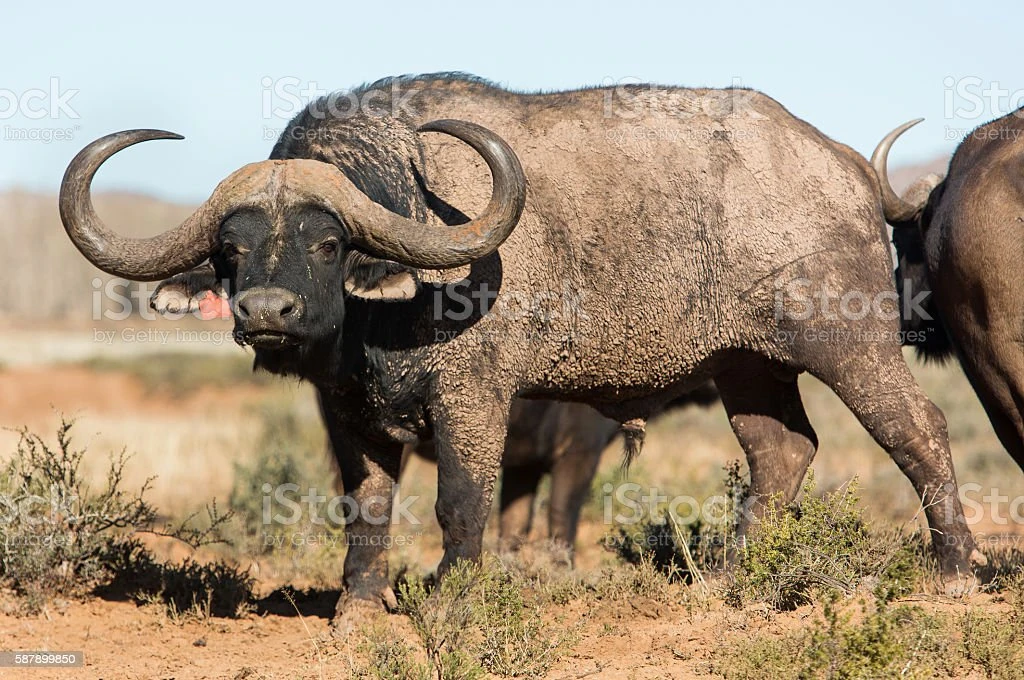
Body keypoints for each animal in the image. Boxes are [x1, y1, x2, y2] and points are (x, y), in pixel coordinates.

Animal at [60, 73, 983, 621]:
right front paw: (357, 609)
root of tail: (844, 167)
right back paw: (730, 577)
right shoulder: (345, 413)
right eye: (233, 248)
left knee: (918, 431)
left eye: (325, 242)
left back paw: (953, 570)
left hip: (849, 346)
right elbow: (366, 509)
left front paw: (452, 597)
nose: (267, 311)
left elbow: (464, 502)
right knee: (782, 454)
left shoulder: (473, 398)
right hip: (746, 368)